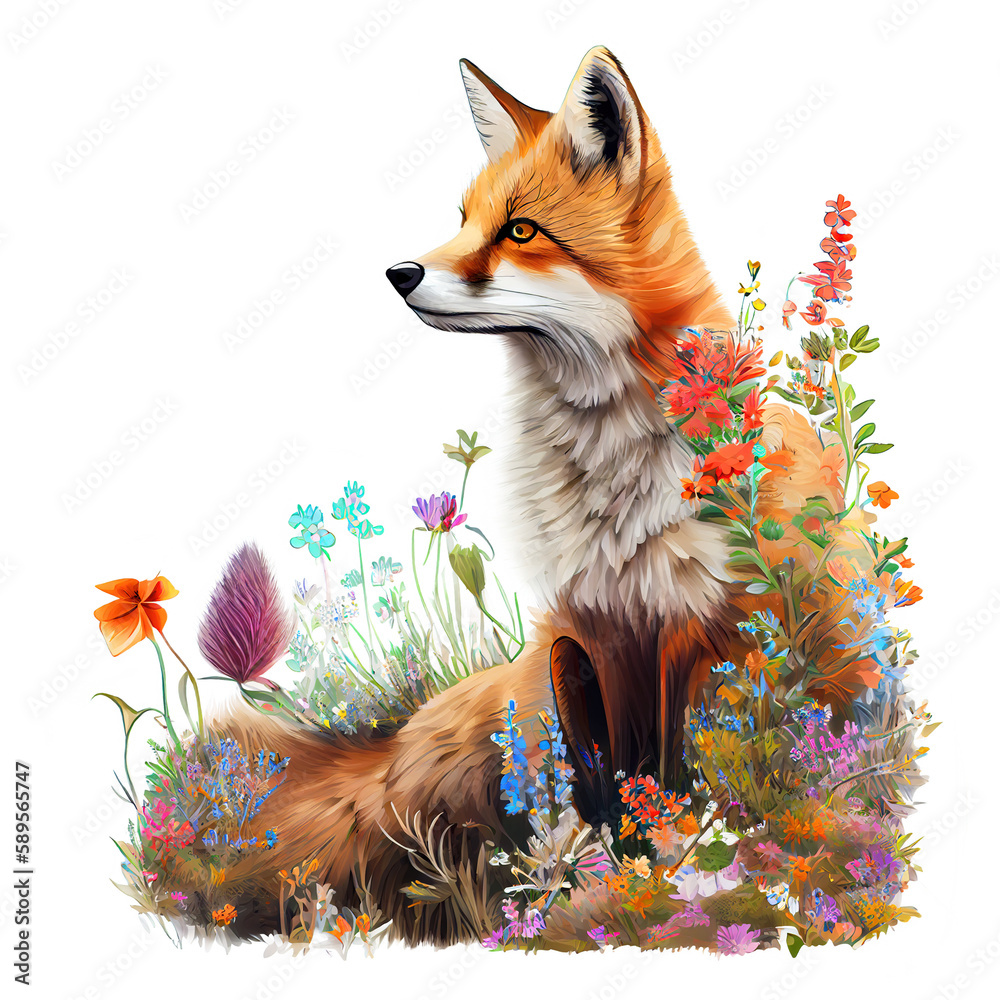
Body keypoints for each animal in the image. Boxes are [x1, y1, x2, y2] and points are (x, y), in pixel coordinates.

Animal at [202, 46, 859, 945]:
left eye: (519, 231)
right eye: (463, 218)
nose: (398, 272)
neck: (615, 484)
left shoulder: (702, 630)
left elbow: (676, 770)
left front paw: (669, 872)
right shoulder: (599, 628)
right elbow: (625, 774)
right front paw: (639, 873)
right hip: (533, 689)